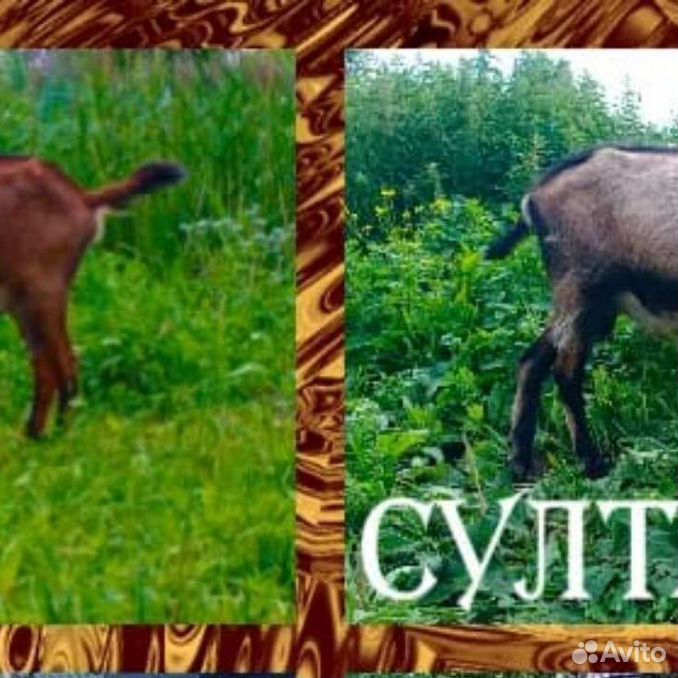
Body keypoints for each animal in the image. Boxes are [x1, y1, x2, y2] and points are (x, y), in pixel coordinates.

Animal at [0, 156, 185, 438]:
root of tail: (82, 197)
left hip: (41, 294)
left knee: (64, 363)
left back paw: (57, 434)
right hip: (23, 303)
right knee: (47, 365)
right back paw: (36, 433)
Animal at [486, 144, 677, 481]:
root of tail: (536, 195)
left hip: (582, 303)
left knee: (531, 361)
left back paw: (520, 461)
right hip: (581, 291)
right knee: (565, 374)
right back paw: (591, 462)